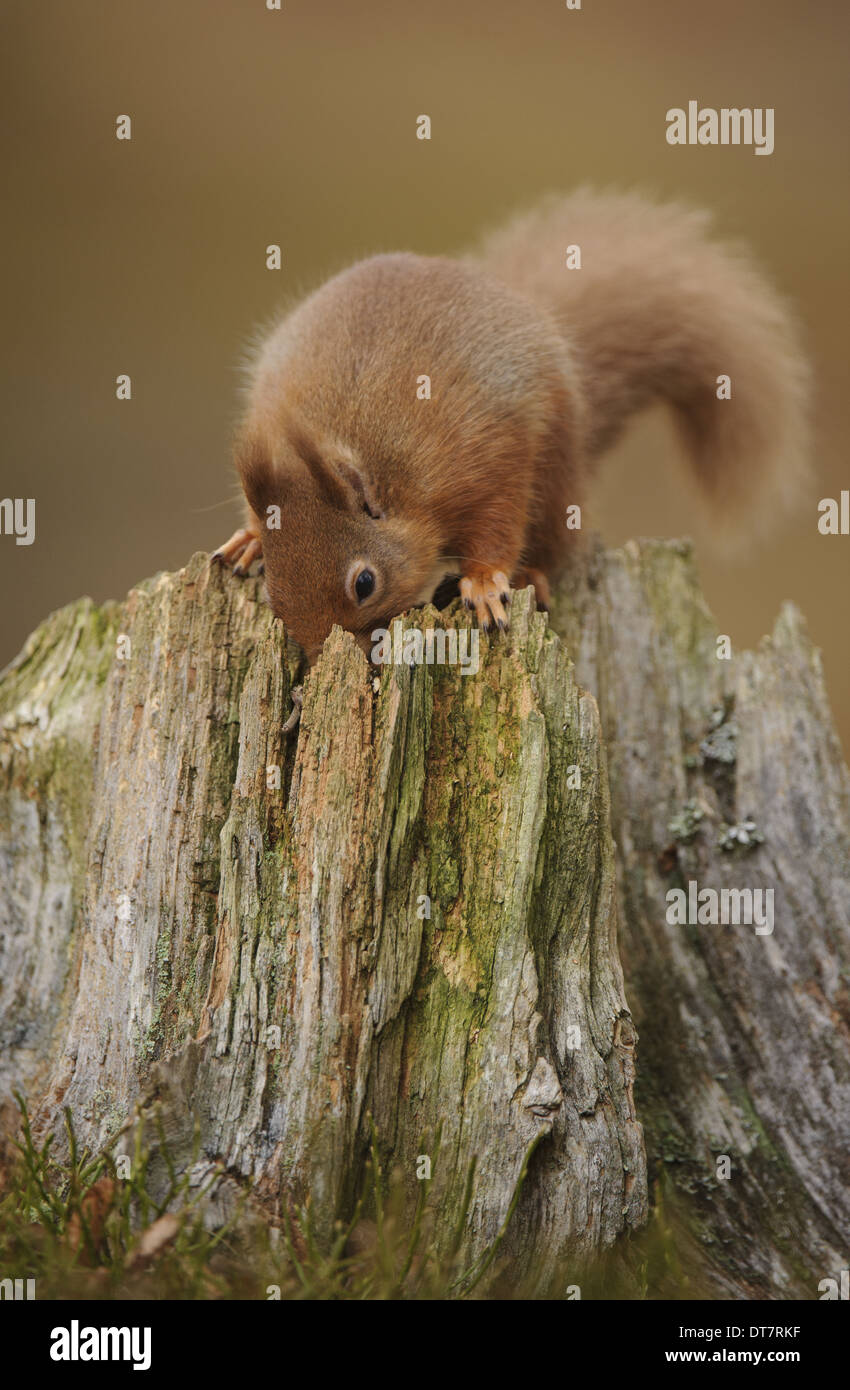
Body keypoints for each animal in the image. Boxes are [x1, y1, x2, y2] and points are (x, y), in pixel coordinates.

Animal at [213, 190, 808, 667]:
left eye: (365, 583)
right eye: (276, 589)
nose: (323, 657)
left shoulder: (491, 452)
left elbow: (497, 527)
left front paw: (484, 583)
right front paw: (254, 538)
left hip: (558, 473)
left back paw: (532, 576)